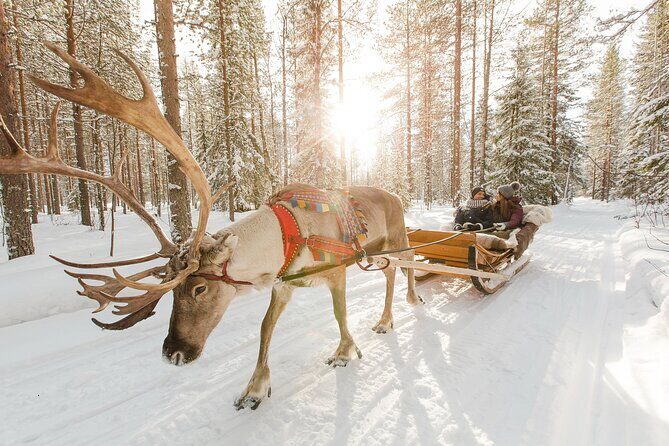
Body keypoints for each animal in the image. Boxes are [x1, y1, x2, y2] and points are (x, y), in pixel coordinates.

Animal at [0, 42, 422, 411]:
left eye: (199, 287)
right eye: (171, 290)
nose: (173, 353)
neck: (288, 235)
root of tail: (396, 194)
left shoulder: (335, 273)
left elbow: (340, 315)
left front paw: (344, 351)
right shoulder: (284, 283)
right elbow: (265, 329)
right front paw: (254, 389)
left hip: (394, 240)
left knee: (404, 266)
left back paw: (397, 311)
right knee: (395, 270)